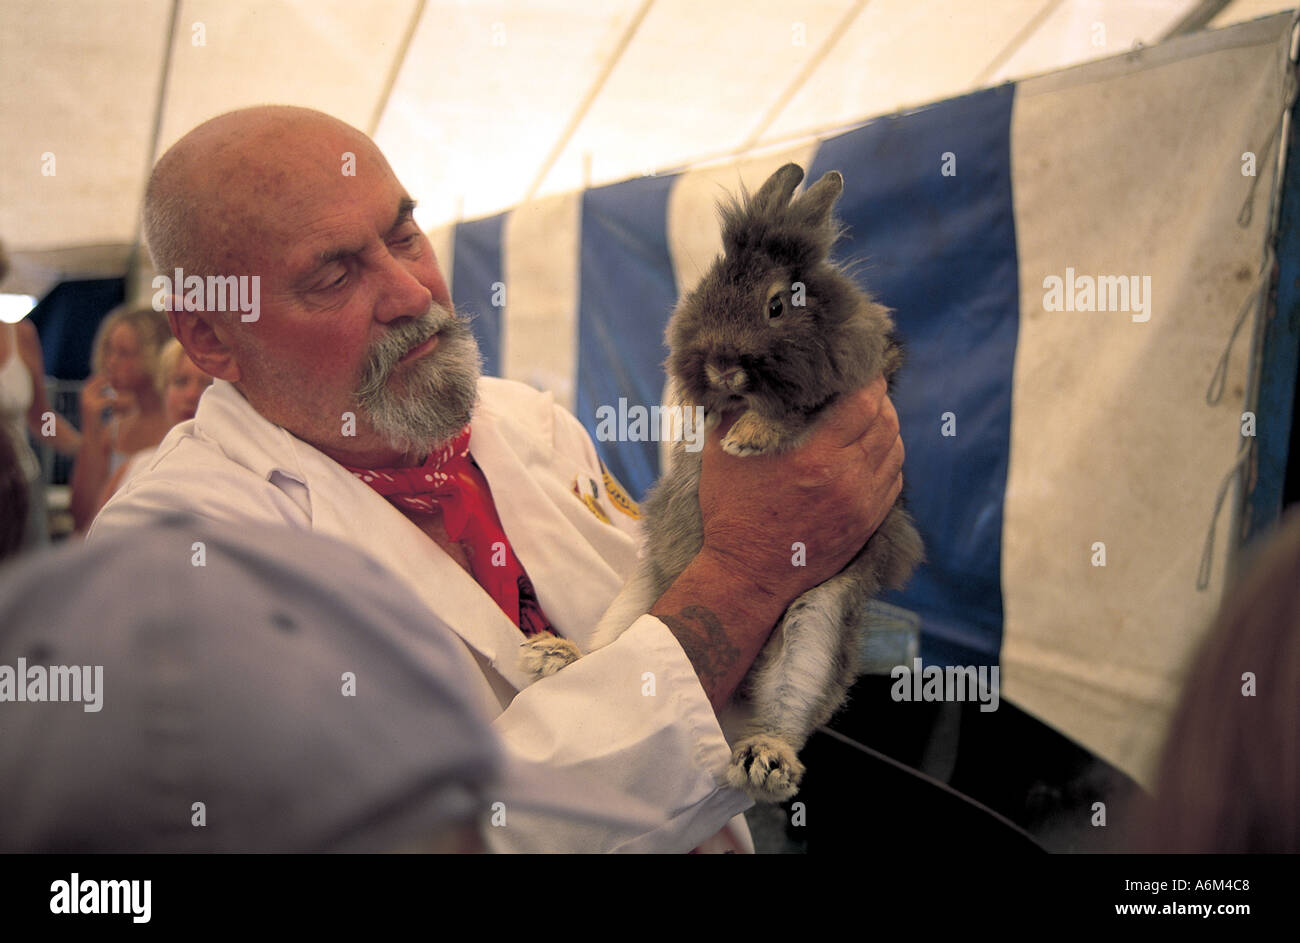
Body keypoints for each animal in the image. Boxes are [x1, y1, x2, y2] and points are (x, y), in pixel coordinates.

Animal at [520, 162, 924, 802]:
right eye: (708, 287)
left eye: (778, 306)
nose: (720, 364)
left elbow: (792, 413)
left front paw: (748, 437)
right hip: (642, 594)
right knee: (608, 652)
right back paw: (555, 656)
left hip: (816, 625)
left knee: (790, 709)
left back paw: (766, 757)